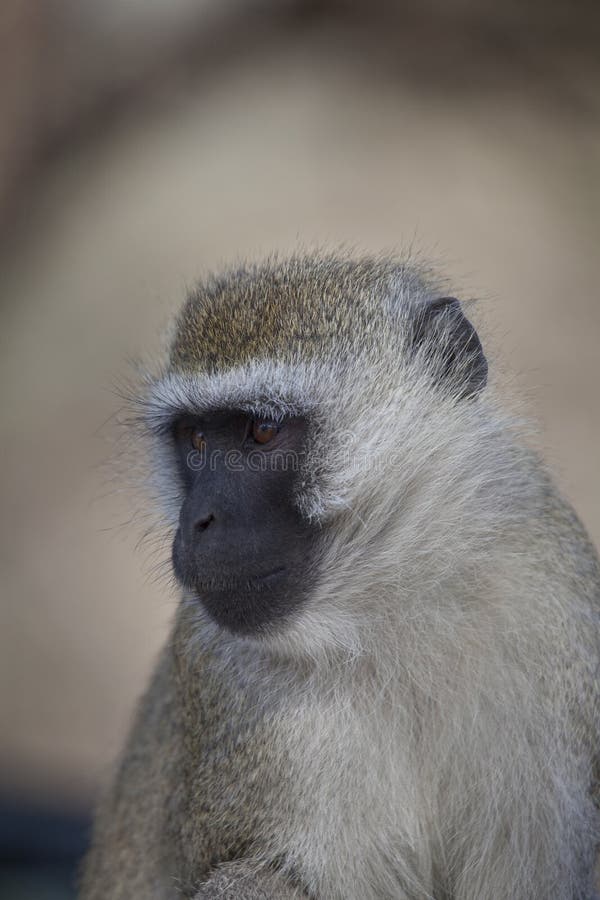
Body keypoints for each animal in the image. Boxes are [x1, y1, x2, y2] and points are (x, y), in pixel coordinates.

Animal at [80, 252, 600, 900]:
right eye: (196, 438)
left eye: (262, 432)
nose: (198, 520)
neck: (392, 609)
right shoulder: (228, 678)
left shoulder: (553, 600)